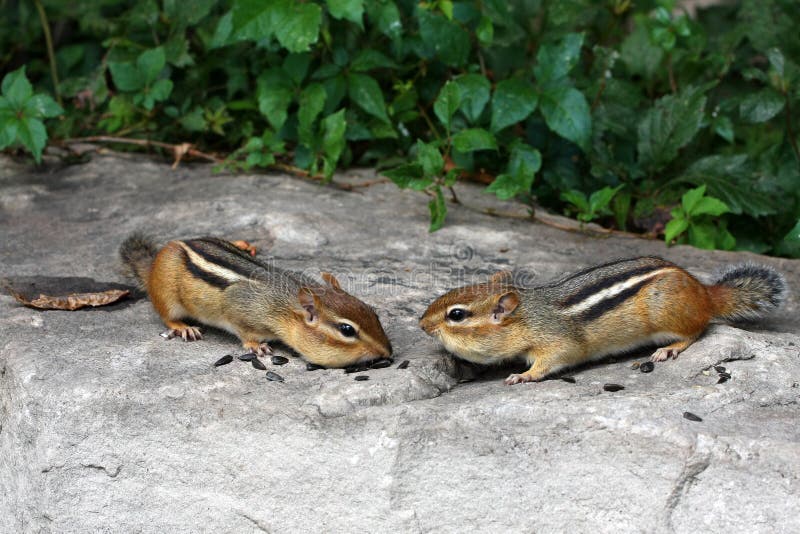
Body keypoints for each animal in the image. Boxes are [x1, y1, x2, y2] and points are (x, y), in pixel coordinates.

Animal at [120, 234, 392, 367]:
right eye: (347, 330)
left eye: (373, 312)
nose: (388, 352)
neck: (285, 304)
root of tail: (153, 265)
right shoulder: (241, 311)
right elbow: (245, 332)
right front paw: (256, 346)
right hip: (167, 294)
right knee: (166, 316)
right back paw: (183, 327)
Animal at [419, 257, 787, 385]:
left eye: (456, 315)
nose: (422, 325)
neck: (529, 314)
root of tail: (703, 291)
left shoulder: (557, 343)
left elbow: (551, 362)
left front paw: (522, 376)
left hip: (667, 311)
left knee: (697, 329)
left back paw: (668, 349)